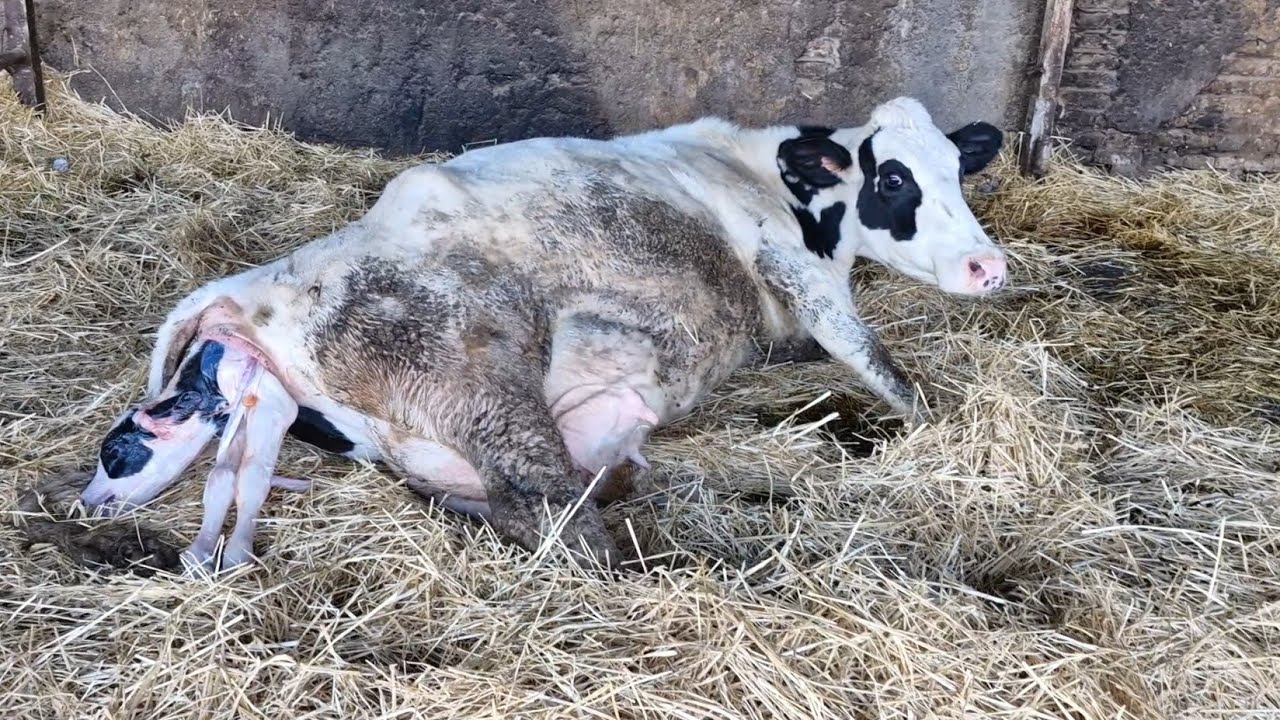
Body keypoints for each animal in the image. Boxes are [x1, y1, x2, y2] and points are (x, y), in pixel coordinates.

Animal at [72, 96, 1007, 574]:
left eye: (960, 172)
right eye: (894, 179)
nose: (988, 266)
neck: (755, 168)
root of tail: (251, 291)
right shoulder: (797, 273)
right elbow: (873, 358)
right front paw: (937, 419)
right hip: (482, 379)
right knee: (550, 513)